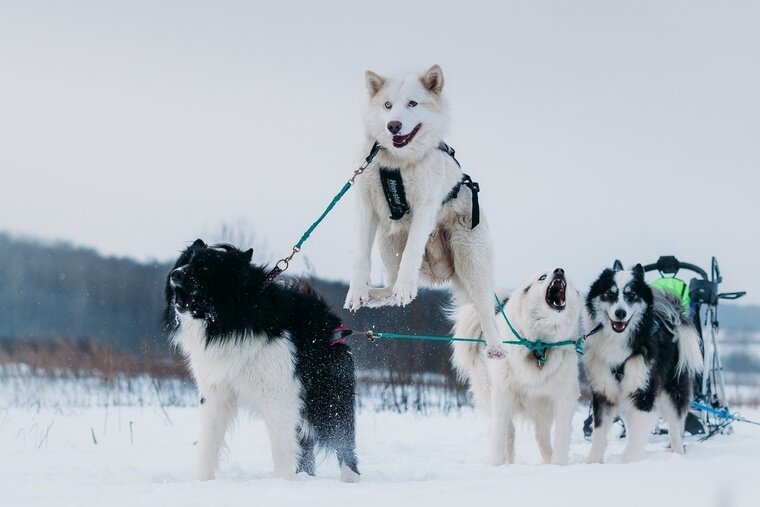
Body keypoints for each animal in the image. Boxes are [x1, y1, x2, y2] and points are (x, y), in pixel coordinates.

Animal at [163, 241, 360, 484]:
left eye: (205, 268)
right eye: (186, 261)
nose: (175, 274)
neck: (234, 319)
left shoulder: (278, 395)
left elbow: (282, 449)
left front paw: (283, 483)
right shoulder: (215, 393)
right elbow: (208, 443)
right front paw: (203, 481)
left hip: (327, 397)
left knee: (344, 440)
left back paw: (350, 480)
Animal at [584, 266, 704, 464]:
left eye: (631, 295)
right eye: (610, 294)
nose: (620, 313)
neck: (619, 341)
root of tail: (673, 320)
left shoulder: (644, 391)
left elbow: (639, 432)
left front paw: (631, 462)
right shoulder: (604, 391)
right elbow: (599, 433)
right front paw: (593, 462)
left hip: (673, 391)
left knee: (675, 429)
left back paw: (678, 455)